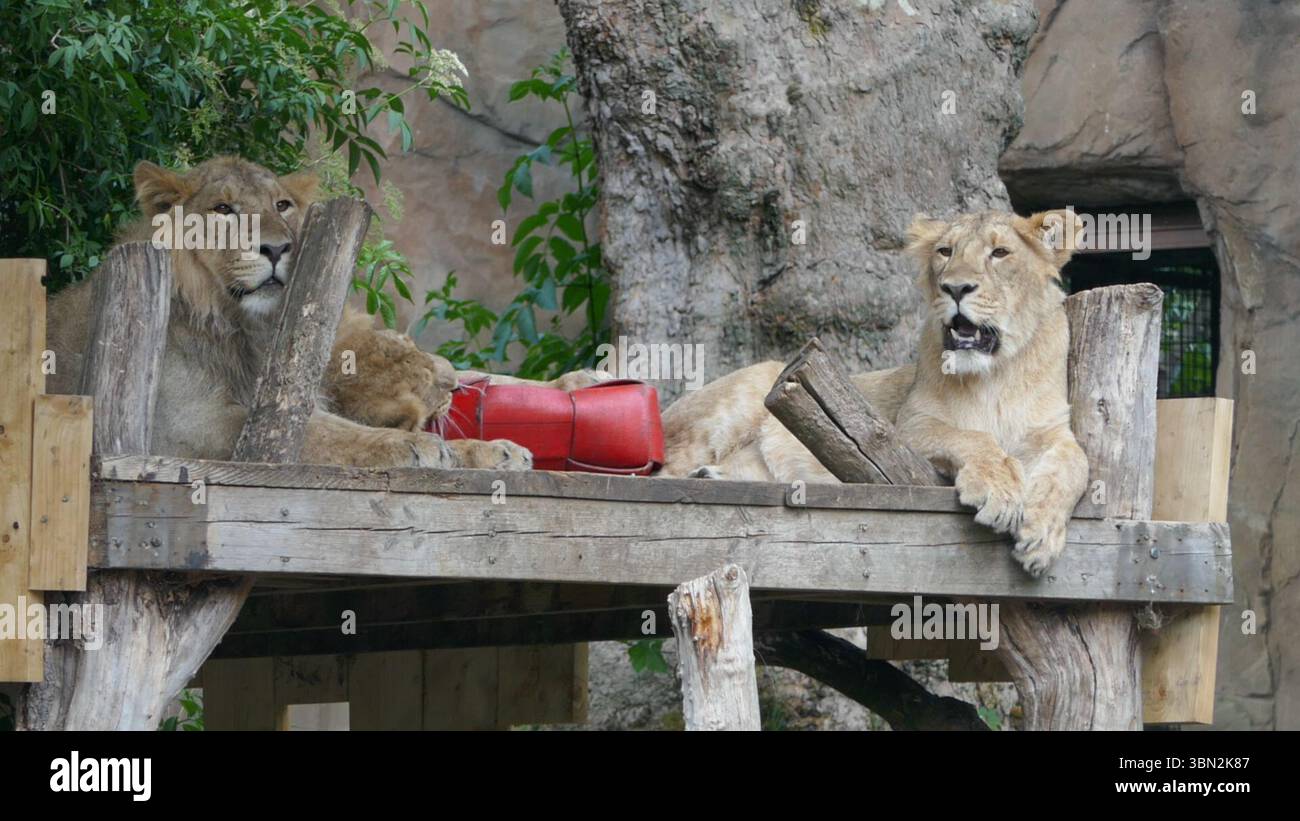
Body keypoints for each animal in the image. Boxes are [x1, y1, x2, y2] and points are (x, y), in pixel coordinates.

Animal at [46, 156, 592, 470]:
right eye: (223, 210)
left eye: (282, 205)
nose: (277, 248)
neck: (240, 324)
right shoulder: (188, 427)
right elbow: (324, 432)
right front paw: (420, 448)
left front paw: (492, 448)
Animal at [659, 209, 1091, 576]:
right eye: (945, 252)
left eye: (1000, 253)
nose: (955, 288)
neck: (995, 374)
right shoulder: (907, 426)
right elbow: (974, 438)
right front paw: (998, 492)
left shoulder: (1052, 430)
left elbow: (1077, 463)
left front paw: (1041, 536)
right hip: (748, 389)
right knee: (663, 467)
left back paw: (712, 475)